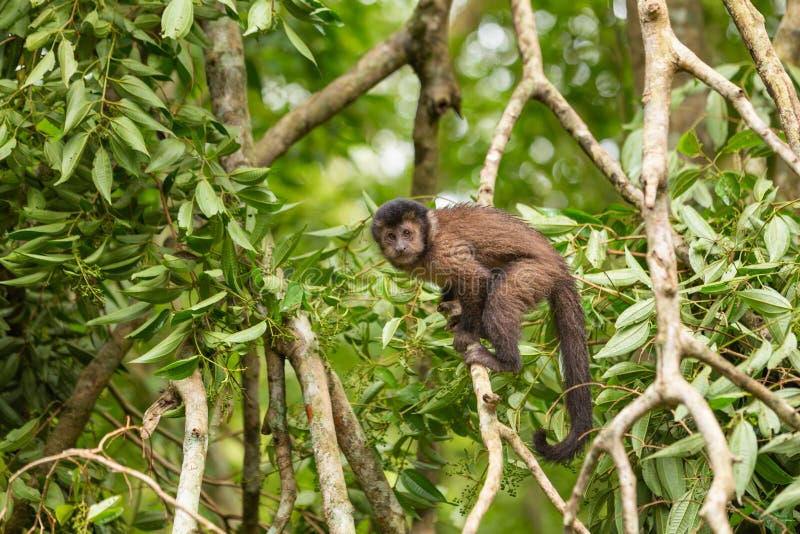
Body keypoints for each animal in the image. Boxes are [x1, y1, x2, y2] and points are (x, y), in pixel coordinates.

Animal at [371, 198, 592, 462]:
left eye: (406, 233)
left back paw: (505, 360)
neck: (429, 240)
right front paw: (449, 304)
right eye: (391, 236)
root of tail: (560, 266)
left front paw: (468, 332)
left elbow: (475, 279)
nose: (401, 246)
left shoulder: (443, 251)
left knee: (501, 297)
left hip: (538, 273)